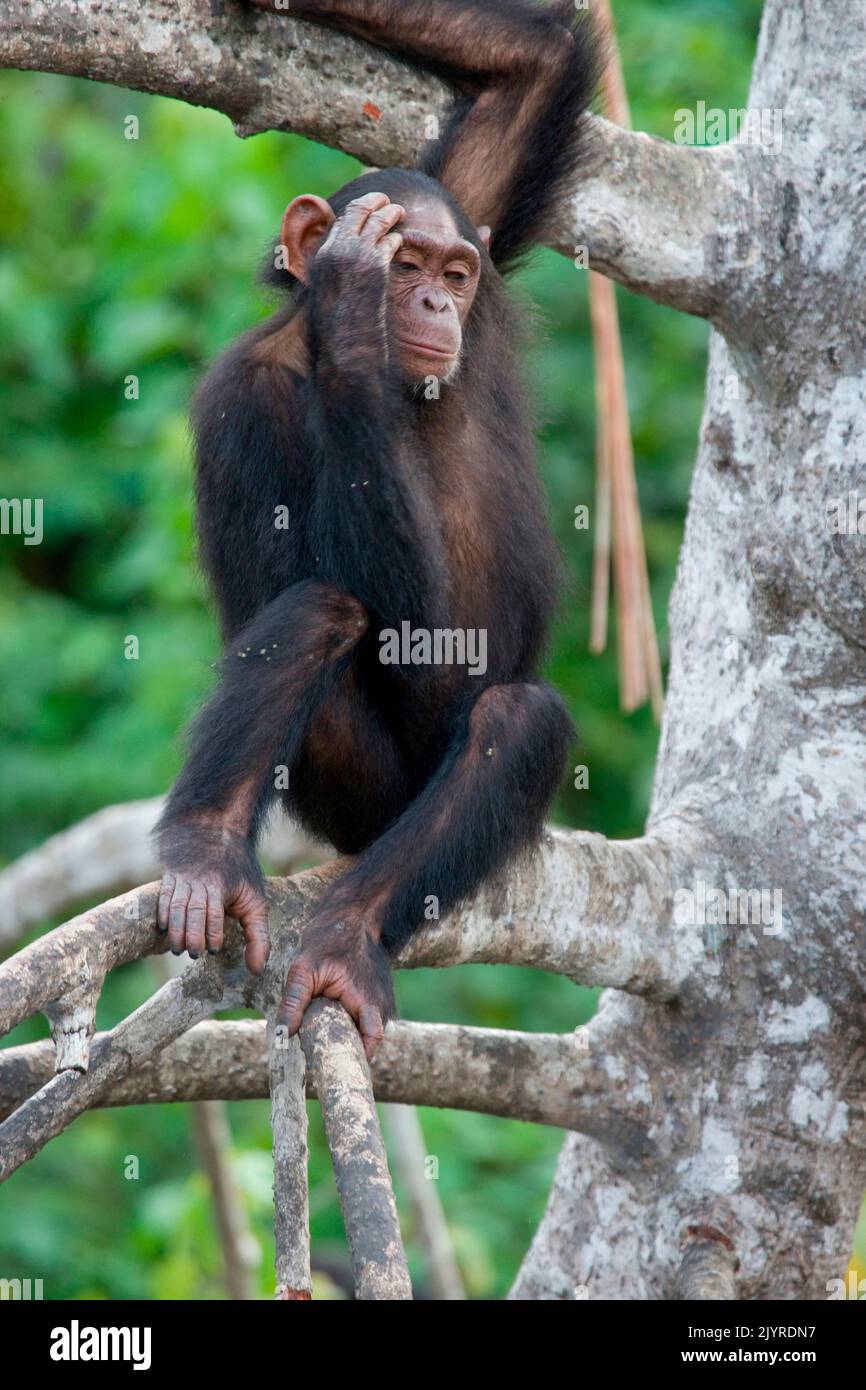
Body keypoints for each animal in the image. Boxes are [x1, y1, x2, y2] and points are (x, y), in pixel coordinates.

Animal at [156, 0, 599, 1059]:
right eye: (406, 267)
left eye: (454, 269)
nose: (434, 300)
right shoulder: (241, 405)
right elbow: (369, 608)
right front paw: (351, 310)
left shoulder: (475, 203)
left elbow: (528, 76)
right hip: (351, 798)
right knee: (321, 609)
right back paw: (207, 851)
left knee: (517, 723)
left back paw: (347, 941)